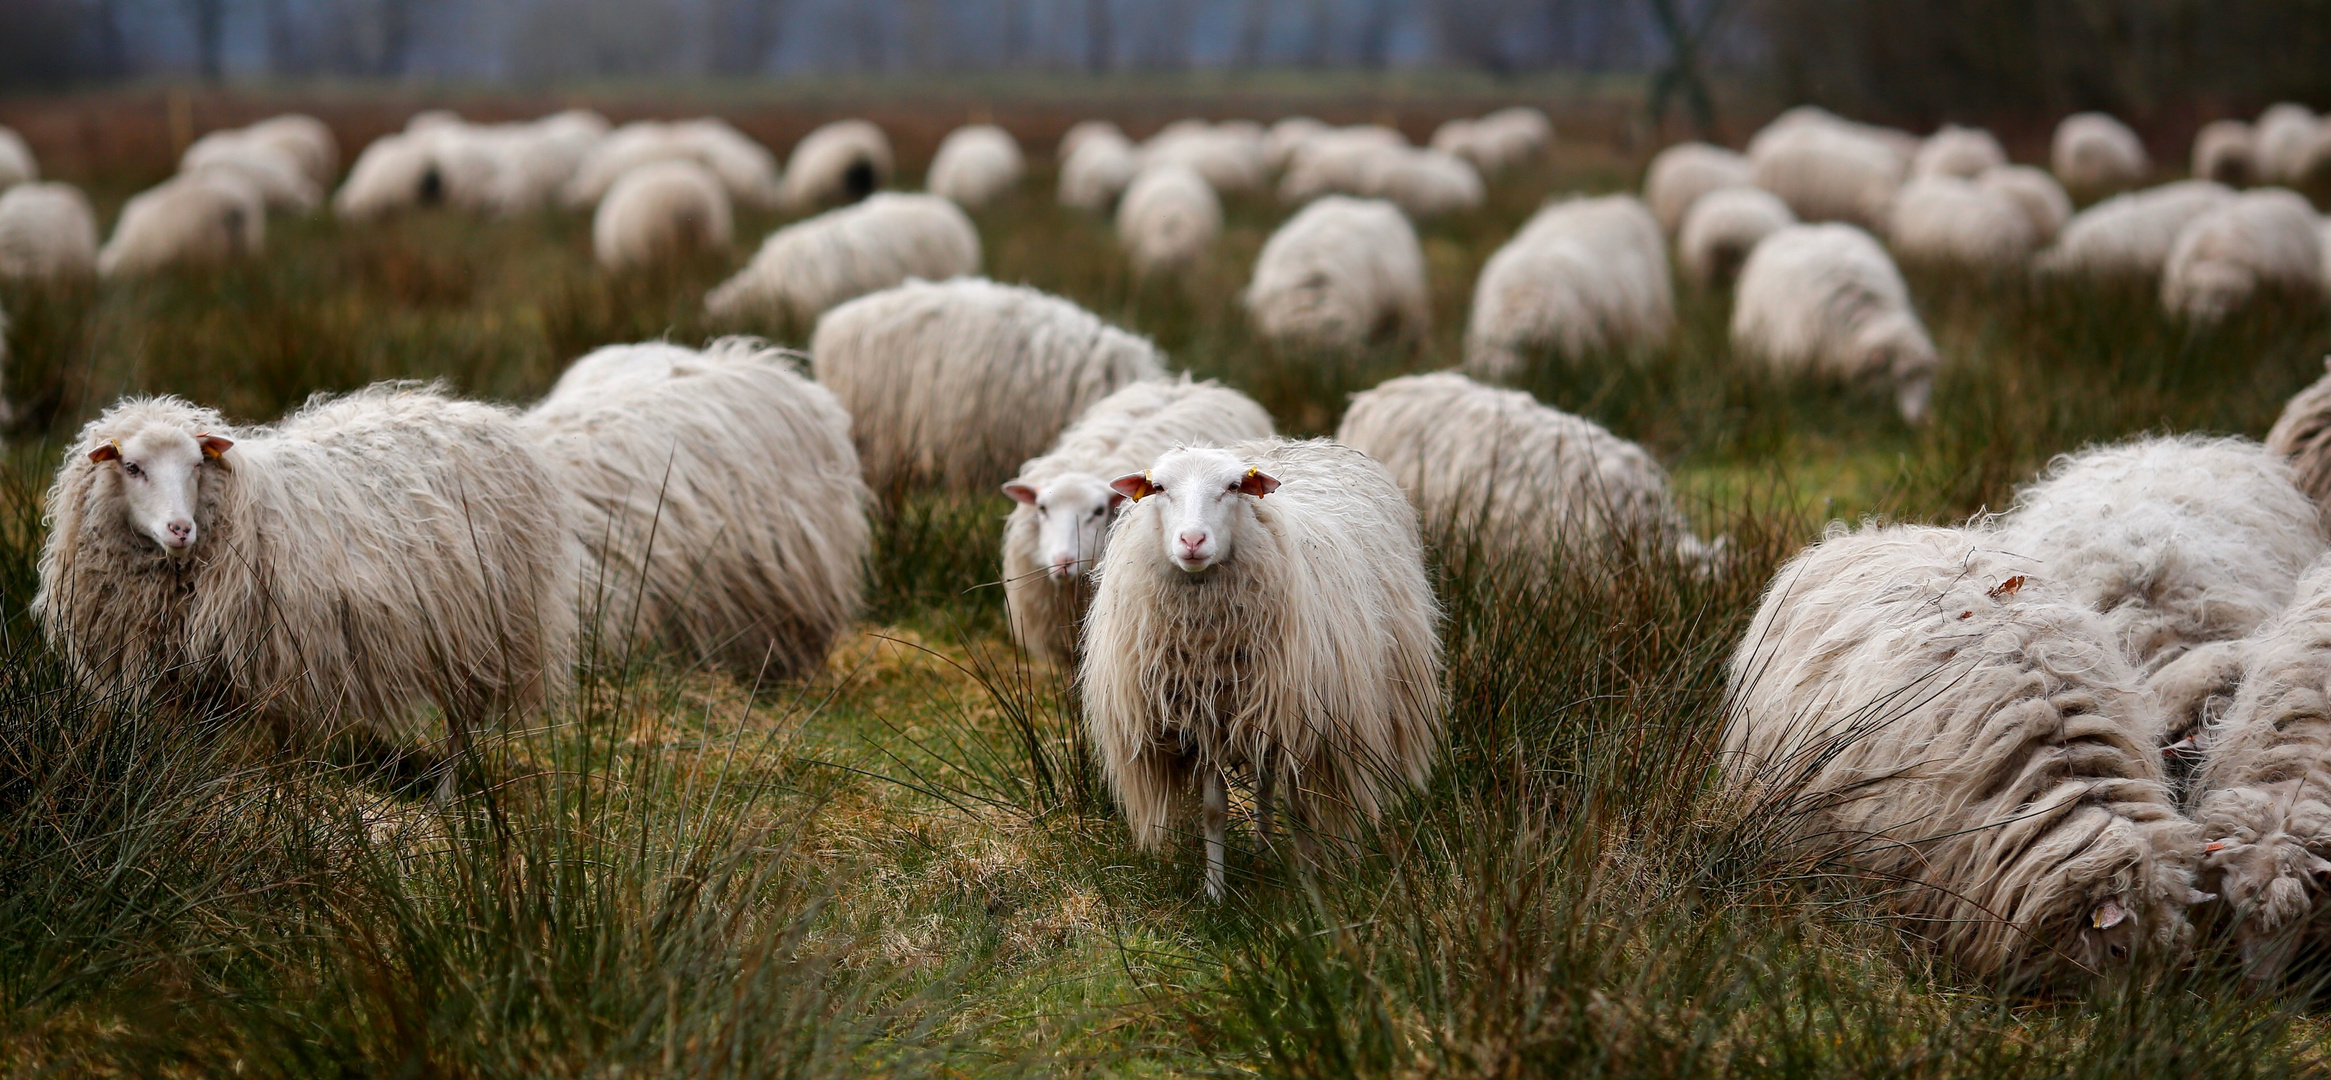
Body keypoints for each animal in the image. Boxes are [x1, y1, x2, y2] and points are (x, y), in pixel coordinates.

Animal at [35, 384, 579, 774]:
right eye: (132, 467)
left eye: (195, 465)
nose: (181, 529)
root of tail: (482, 414)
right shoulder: (175, 677)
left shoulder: (271, 660)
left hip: (481, 631)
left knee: (459, 727)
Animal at [1083, 438, 1443, 899]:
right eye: (1159, 488)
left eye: (1233, 487)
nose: (1192, 540)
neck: (1208, 646)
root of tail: (1291, 443)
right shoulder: (1205, 721)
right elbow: (1214, 812)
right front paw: (1216, 895)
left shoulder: (1307, 725)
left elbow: (1301, 813)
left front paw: (1311, 892)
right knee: (1265, 784)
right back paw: (1260, 855)